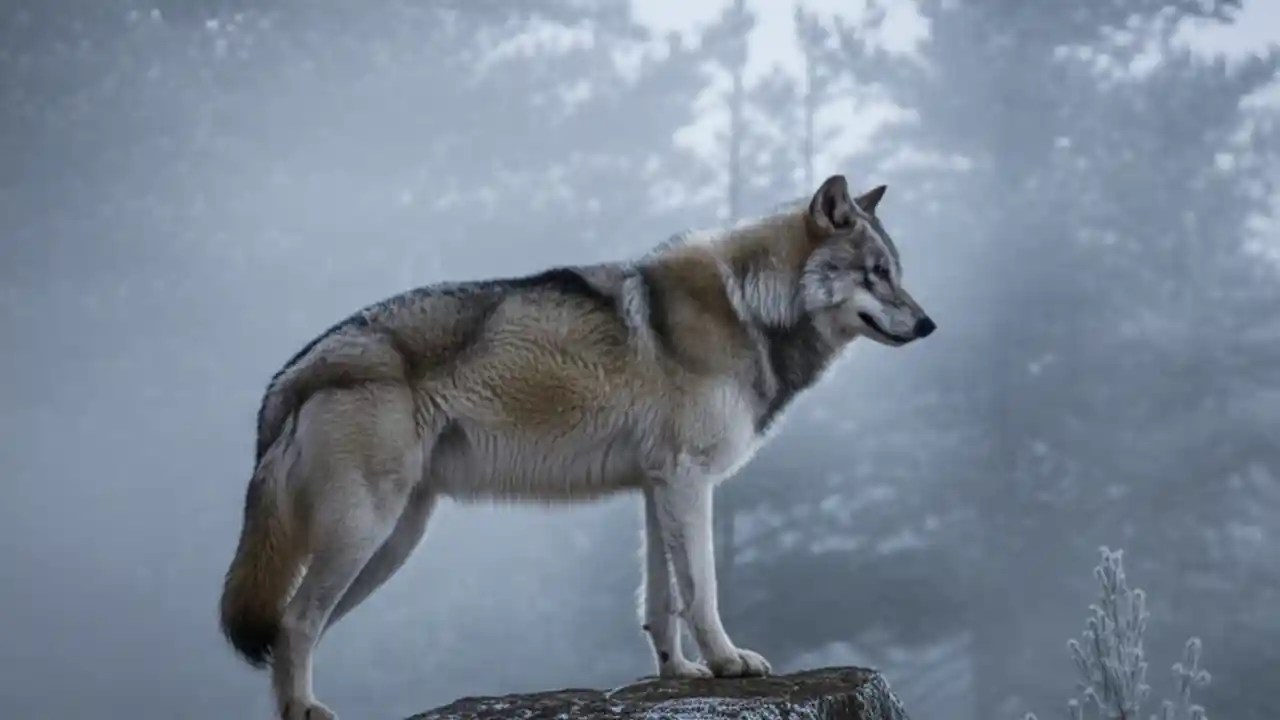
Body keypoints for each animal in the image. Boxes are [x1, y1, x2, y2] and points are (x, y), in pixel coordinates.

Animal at [218, 174, 936, 719]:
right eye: (876, 274)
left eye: (896, 273)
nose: (928, 324)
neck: (749, 308)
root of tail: (294, 373)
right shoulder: (689, 481)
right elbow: (701, 590)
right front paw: (729, 662)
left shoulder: (658, 487)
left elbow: (662, 601)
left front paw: (679, 673)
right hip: (365, 533)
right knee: (294, 622)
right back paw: (306, 707)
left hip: (391, 544)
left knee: (293, 631)